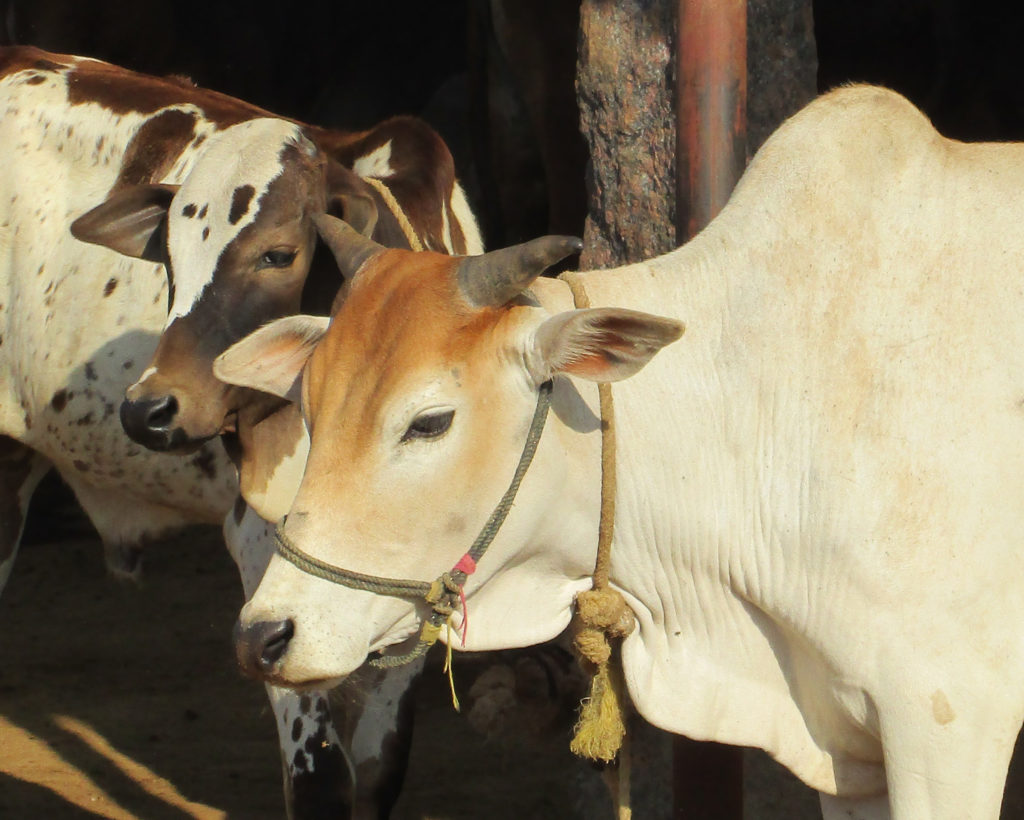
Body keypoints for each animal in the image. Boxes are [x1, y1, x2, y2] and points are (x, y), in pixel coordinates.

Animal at [0, 45, 479, 818]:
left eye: (279, 254)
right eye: (167, 260)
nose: (148, 409)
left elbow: (379, 769)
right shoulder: (265, 556)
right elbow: (320, 778)